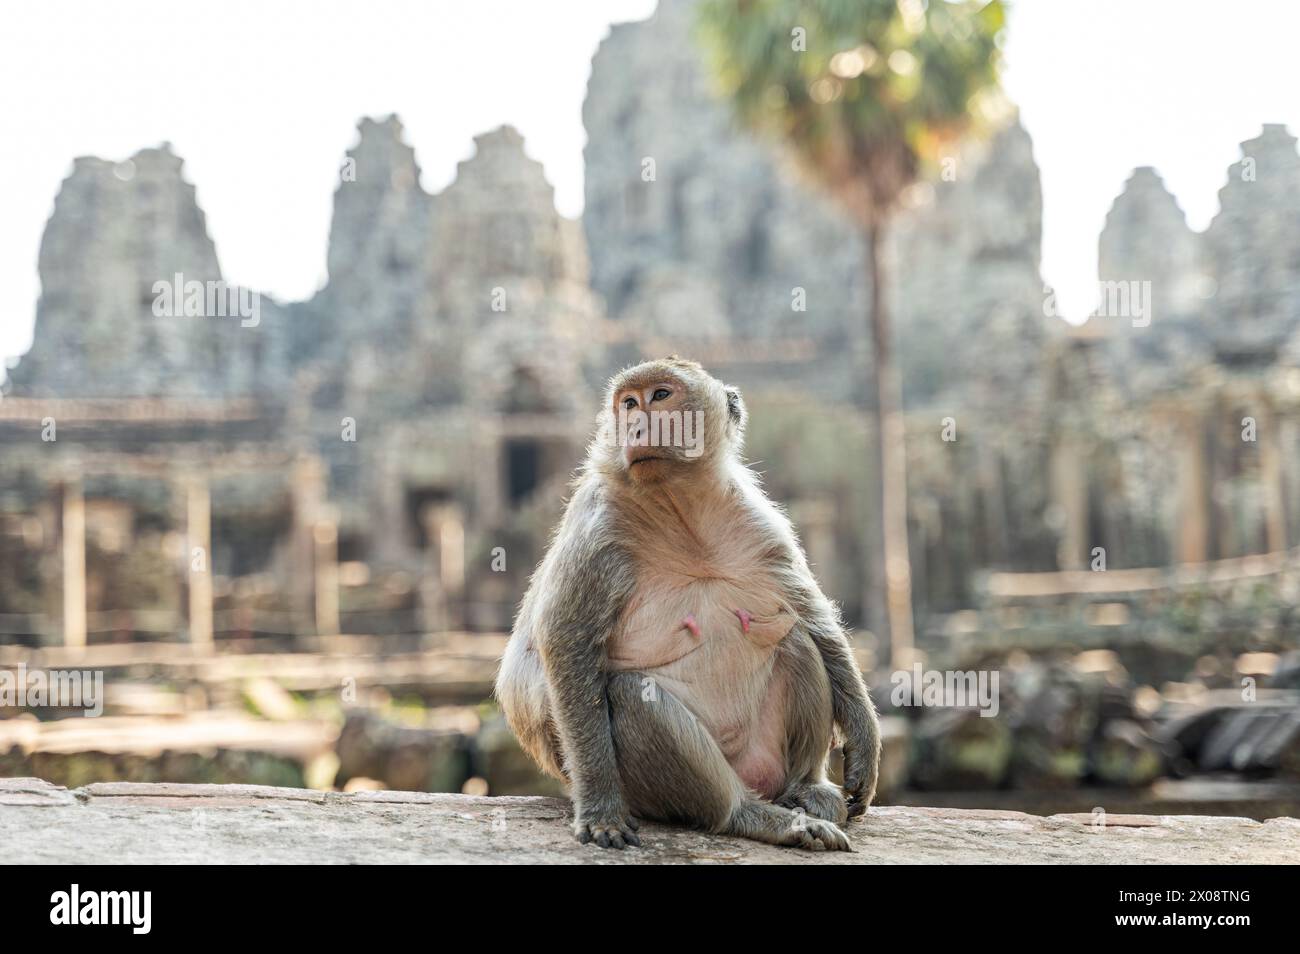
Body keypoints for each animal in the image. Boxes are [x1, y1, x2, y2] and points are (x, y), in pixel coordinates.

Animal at [494, 357, 879, 850]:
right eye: (629, 403)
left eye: (661, 396)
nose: (636, 427)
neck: (678, 506)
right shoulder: (599, 525)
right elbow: (566, 642)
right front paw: (601, 809)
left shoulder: (757, 521)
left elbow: (812, 619)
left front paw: (864, 743)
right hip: (654, 790)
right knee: (631, 694)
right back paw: (749, 815)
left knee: (793, 638)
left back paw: (804, 789)